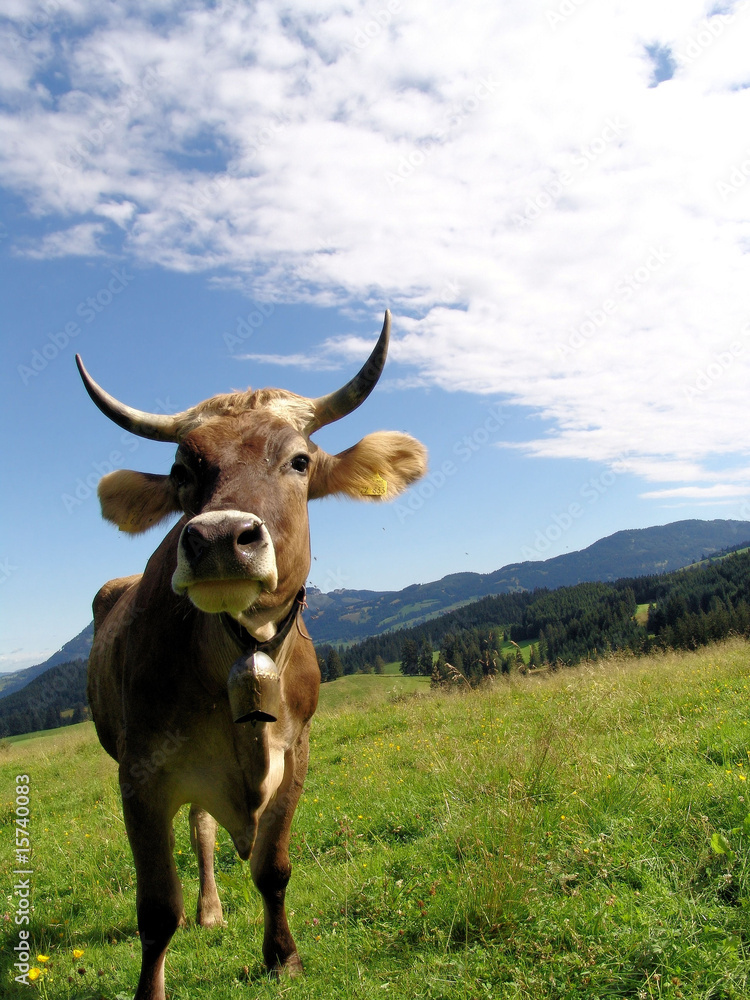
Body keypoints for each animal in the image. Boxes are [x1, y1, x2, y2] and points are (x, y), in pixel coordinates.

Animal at [76, 312, 427, 1000]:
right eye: (182, 469)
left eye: (299, 460)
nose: (217, 538)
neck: (243, 650)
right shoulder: (139, 774)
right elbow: (156, 909)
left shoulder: (297, 754)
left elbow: (274, 867)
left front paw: (281, 955)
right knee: (201, 832)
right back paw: (207, 909)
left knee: (206, 829)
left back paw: (214, 911)